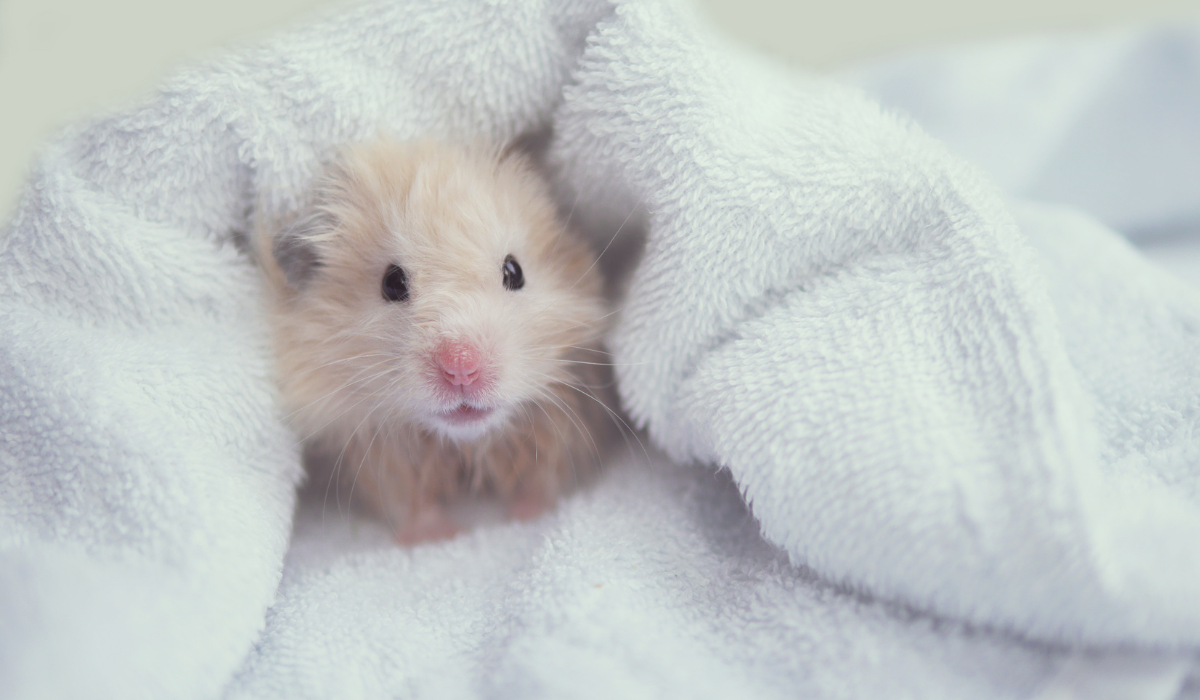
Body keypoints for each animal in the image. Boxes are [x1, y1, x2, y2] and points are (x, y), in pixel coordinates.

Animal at [257, 138, 616, 544]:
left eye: (514, 271)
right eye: (392, 283)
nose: (461, 367)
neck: (461, 443)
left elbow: (545, 477)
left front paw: (528, 516)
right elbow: (407, 501)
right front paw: (442, 535)